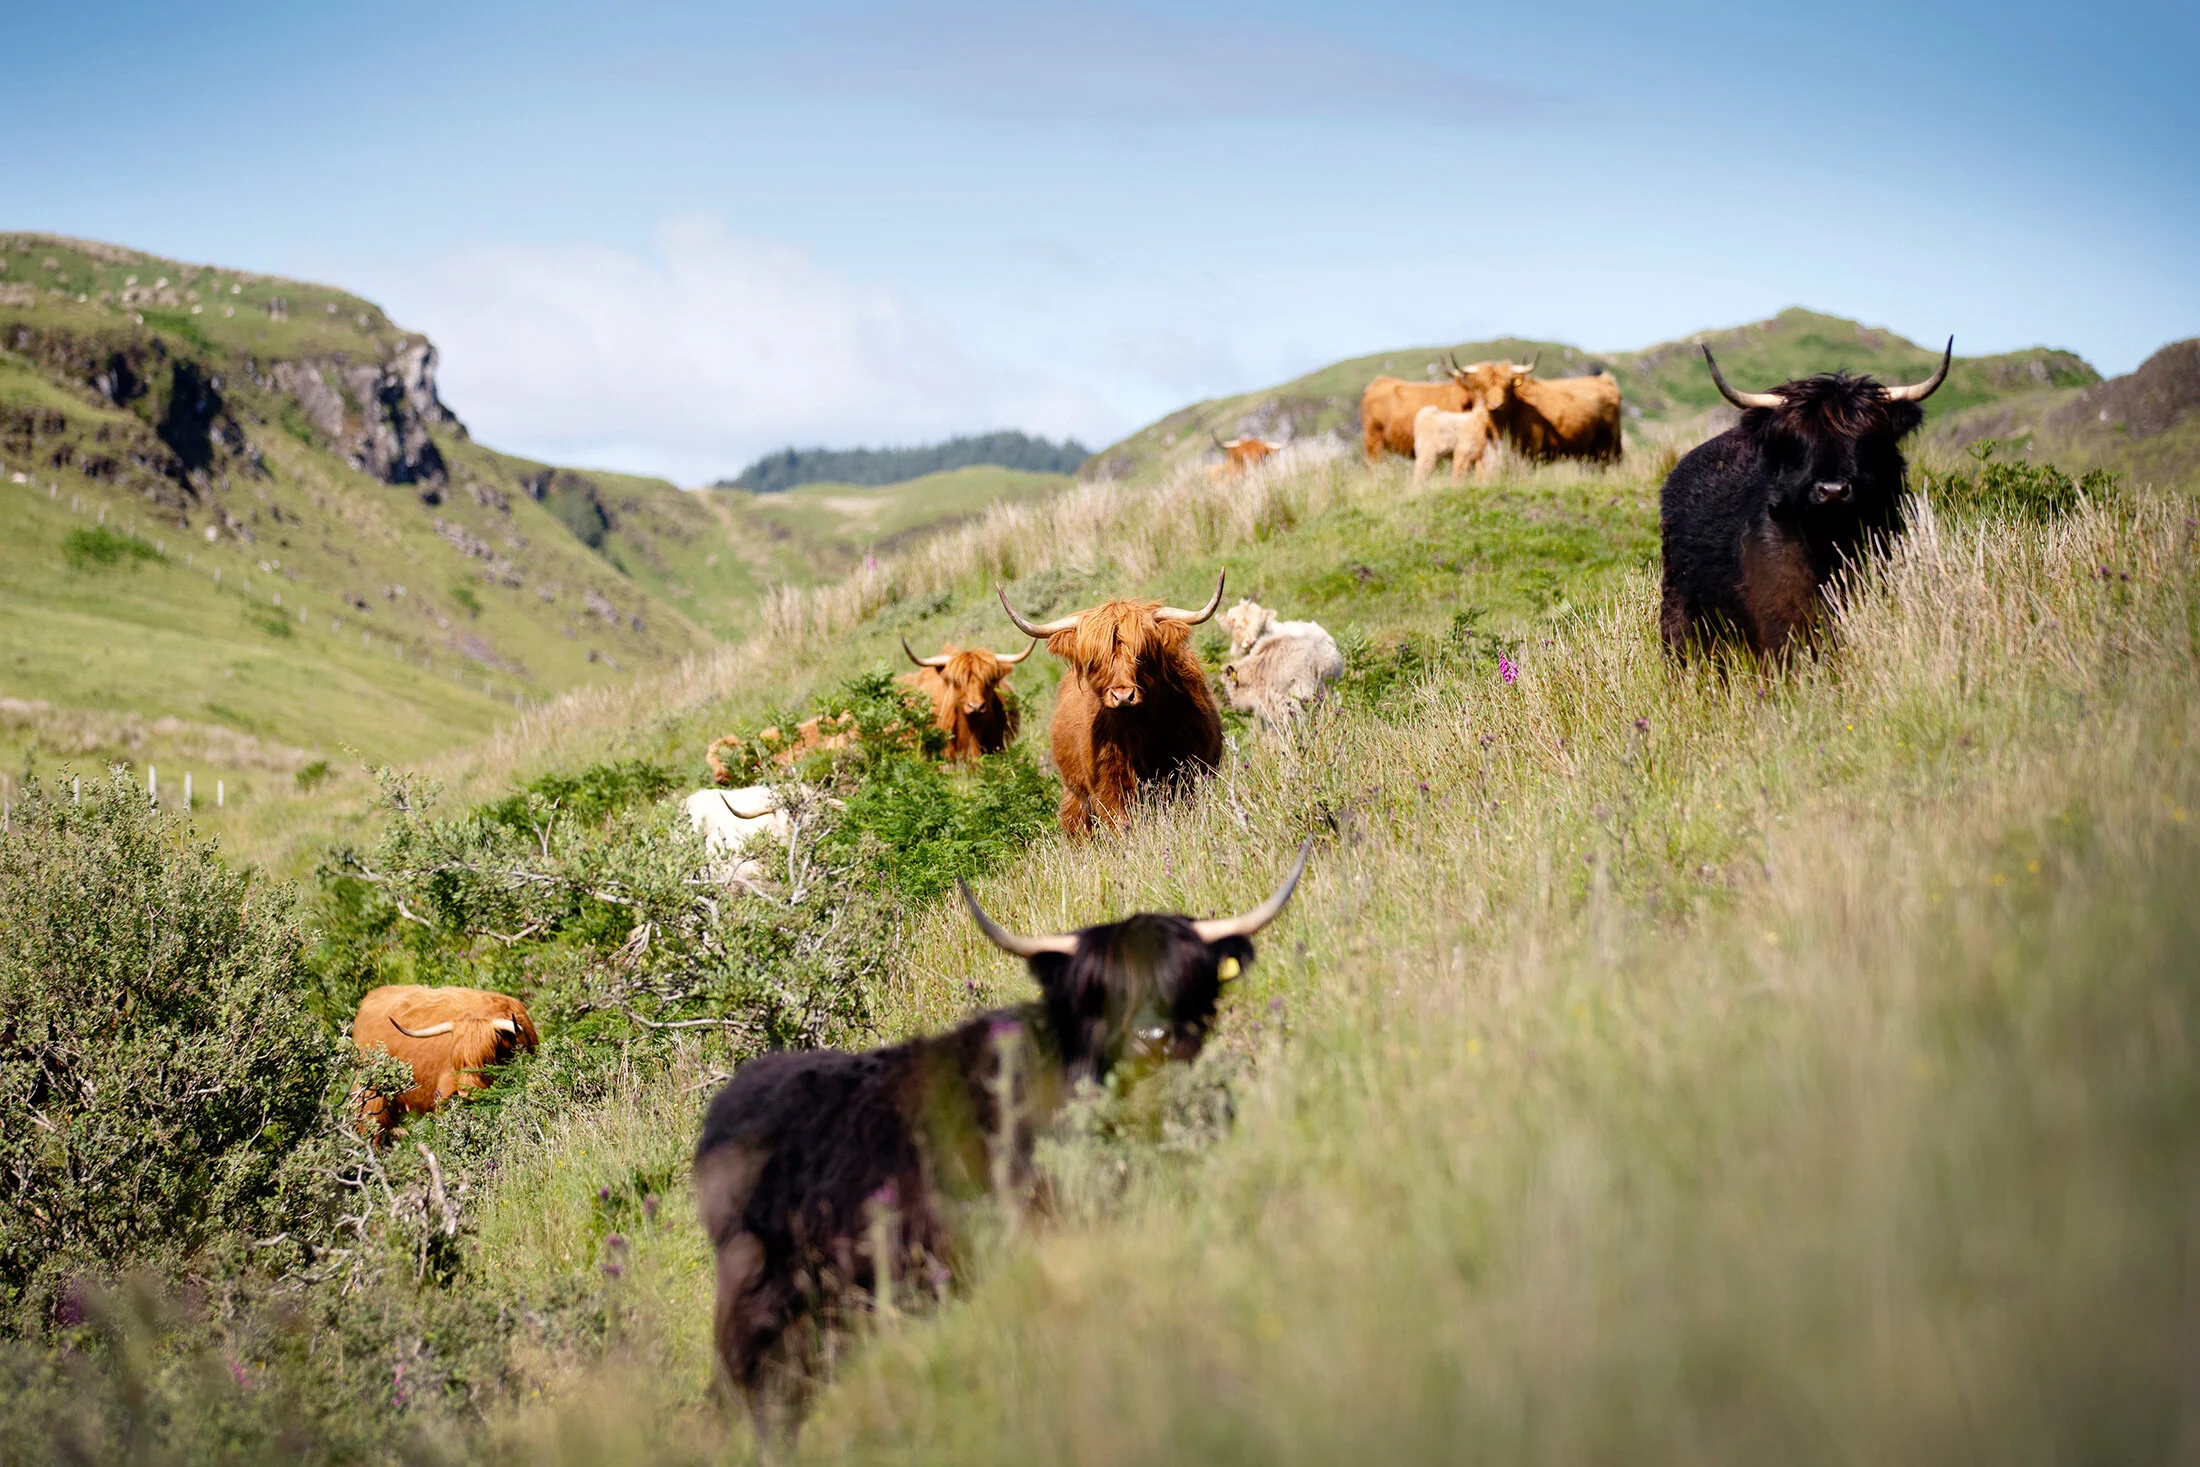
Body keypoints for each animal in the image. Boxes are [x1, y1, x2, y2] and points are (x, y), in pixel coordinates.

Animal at [997, 573, 1227, 837]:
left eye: (1142, 654)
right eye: (1095, 661)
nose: (1123, 695)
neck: (1140, 731)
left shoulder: (1189, 768)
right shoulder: (1109, 783)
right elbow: (1120, 821)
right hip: (1074, 797)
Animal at [1449, 354, 1624, 464]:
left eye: (1506, 386)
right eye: (1483, 386)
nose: (1496, 405)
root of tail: (1606, 380)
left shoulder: (1530, 448)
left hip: (1605, 447)